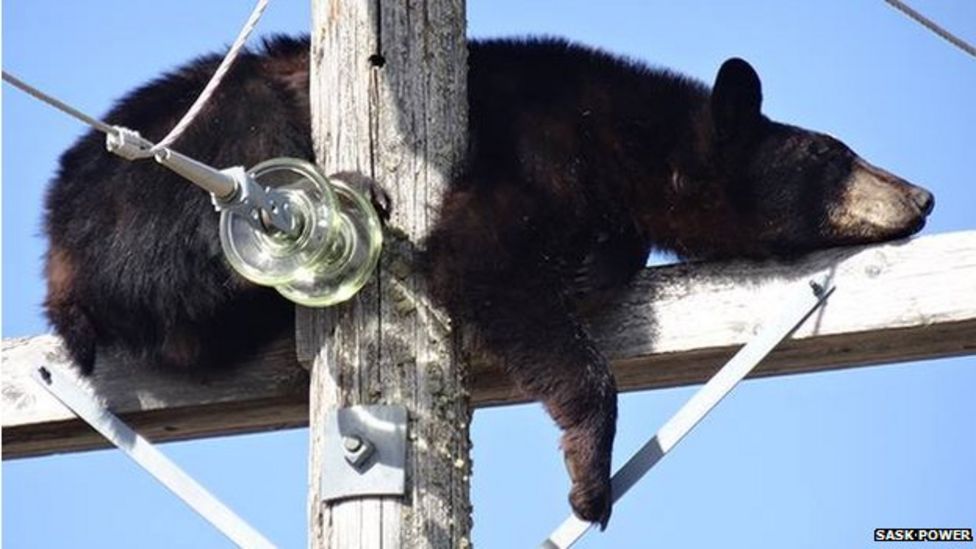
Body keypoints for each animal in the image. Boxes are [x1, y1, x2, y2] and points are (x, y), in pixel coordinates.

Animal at [42, 35, 933, 528]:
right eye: (829, 153)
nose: (923, 195)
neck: (627, 134)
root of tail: (53, 250)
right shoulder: (532, 145)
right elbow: (484, 263)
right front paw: (589, 475)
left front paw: (596, 260)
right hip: (163, 176)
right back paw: (347, 192)